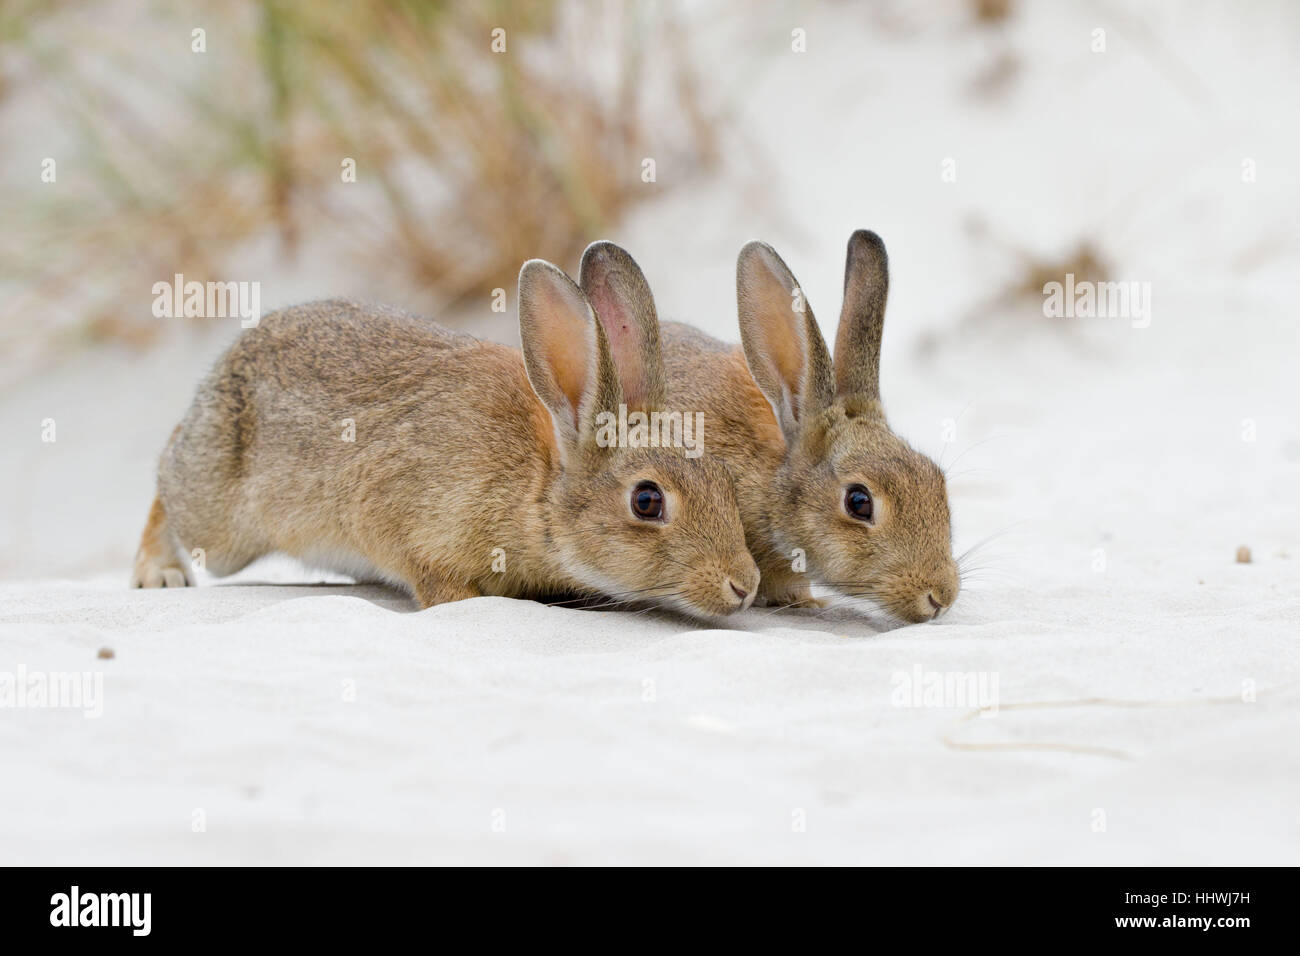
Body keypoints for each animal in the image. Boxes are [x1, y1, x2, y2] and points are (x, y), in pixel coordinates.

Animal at [129, 248, 761, 620]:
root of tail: (229, 362)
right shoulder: (413, 527)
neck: (536, 487)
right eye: (646, 501)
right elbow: (437, 583)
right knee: (167, 485)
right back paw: (159, 575)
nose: (745, 585)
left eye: (723, 478)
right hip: (223, 524)